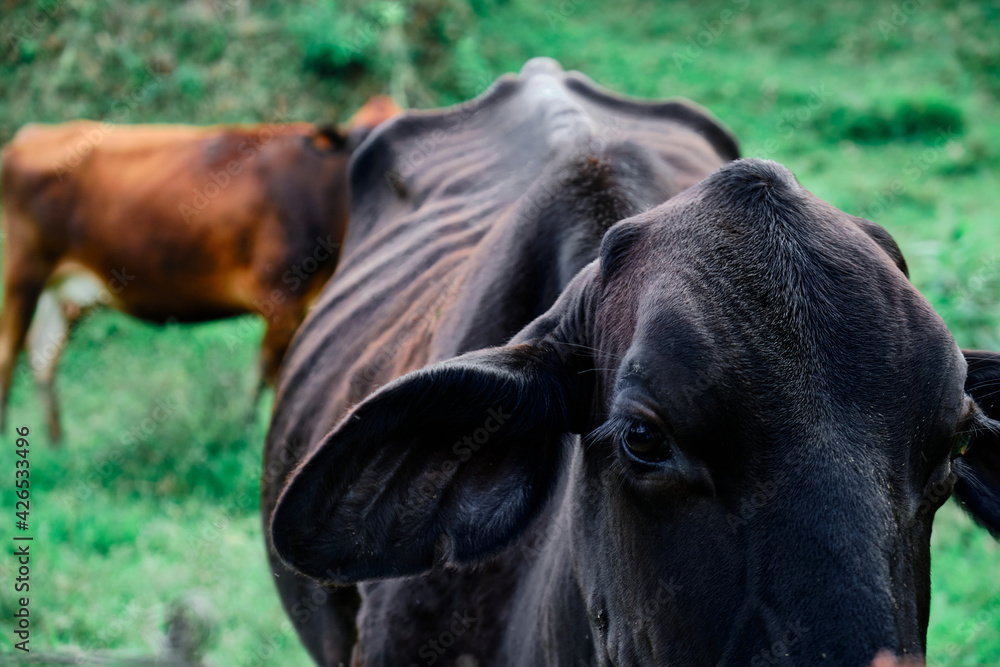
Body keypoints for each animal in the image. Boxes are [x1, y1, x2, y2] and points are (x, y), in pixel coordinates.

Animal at [0, 96, 401, 443]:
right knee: (9, 351)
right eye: (361, 153)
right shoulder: (282, 296)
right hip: (24, 271)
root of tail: (31, 135)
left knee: (43, 357)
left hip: (61, 291)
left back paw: (59, 447)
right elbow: (274, 377)